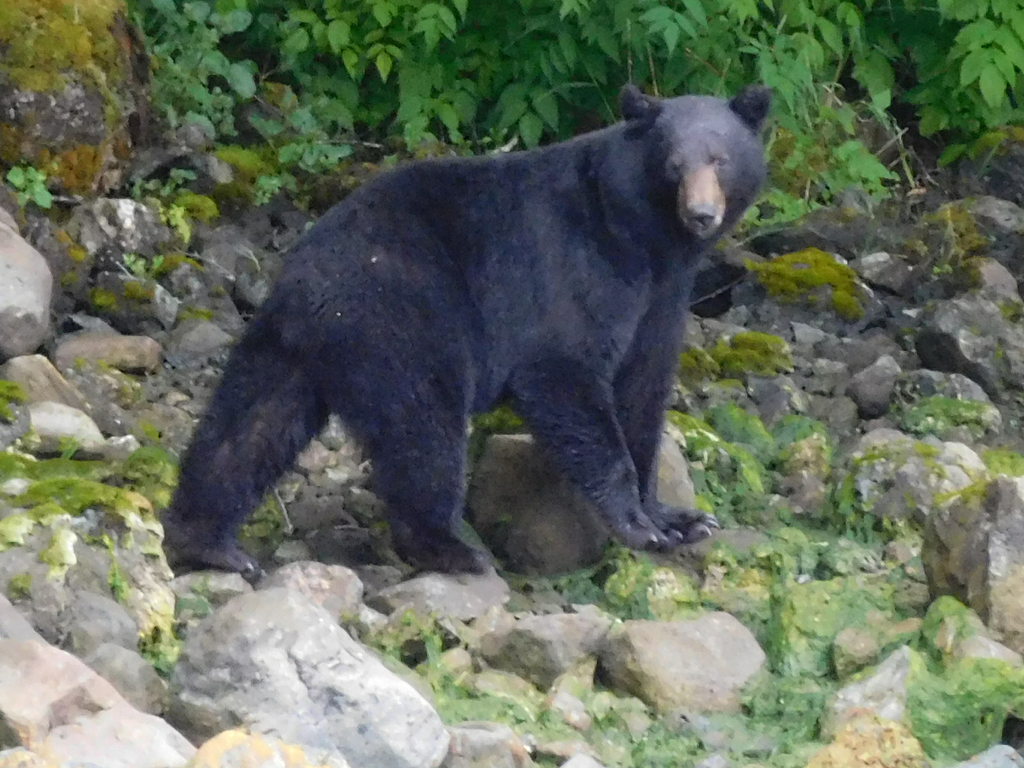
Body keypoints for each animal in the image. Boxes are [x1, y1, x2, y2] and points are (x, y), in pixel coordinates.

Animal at [162, 83, 772, 583]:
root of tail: (307, 280)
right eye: (674, 163)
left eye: (720, 159)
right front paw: (639, 524)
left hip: (290, 346)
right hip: (408, 320)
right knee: (424, 432)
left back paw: (209, 542)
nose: (701, 213)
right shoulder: (583, 270)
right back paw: (453, 548)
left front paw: (679, 516)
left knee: (251, 423)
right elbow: (567, 373)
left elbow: (643, 390)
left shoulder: (662, 301)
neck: (646, 240)